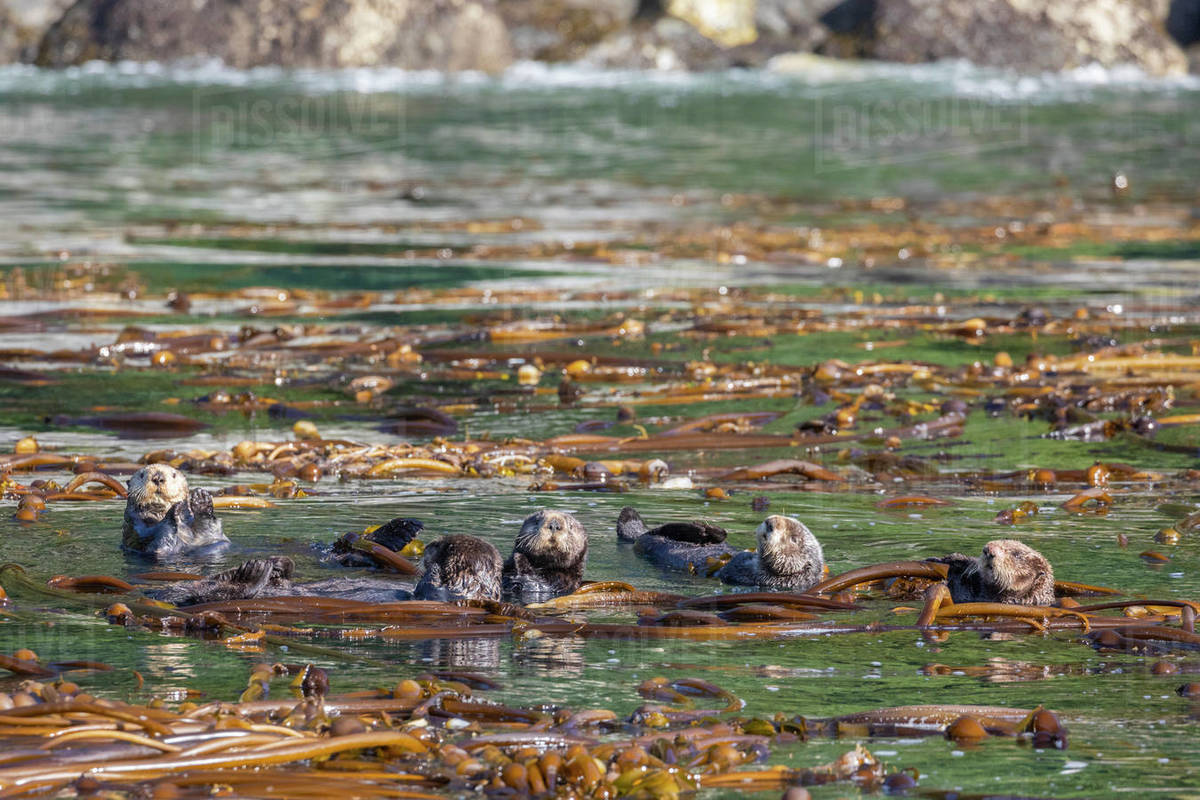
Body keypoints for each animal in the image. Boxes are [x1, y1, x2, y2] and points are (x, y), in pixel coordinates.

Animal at [618, 508, 825, 591]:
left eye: (794, 539)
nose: (770, 522)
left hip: (648, 540)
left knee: (659, 531)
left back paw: (703, 531)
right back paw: (710, 532)